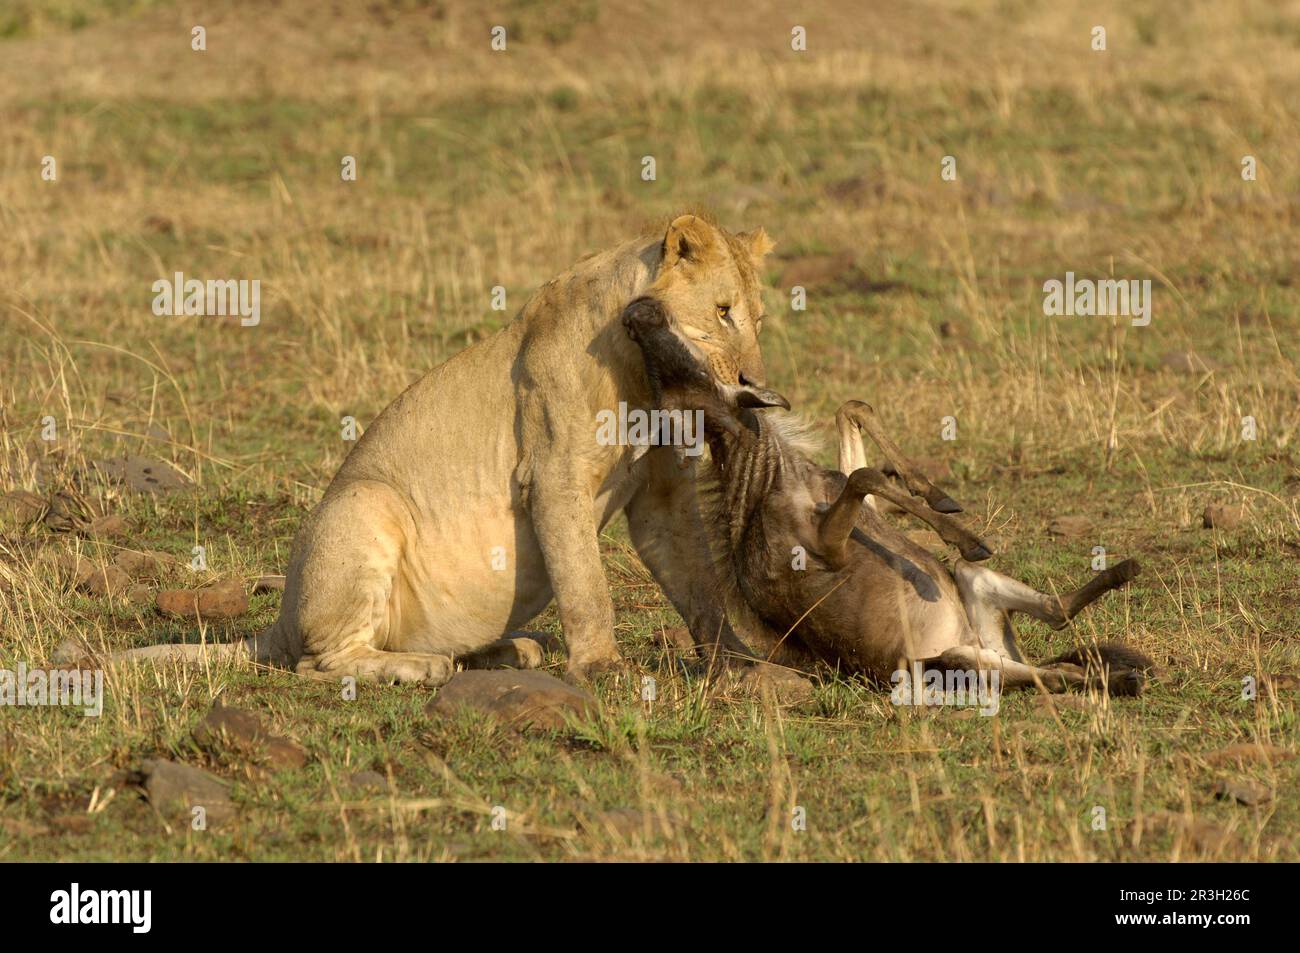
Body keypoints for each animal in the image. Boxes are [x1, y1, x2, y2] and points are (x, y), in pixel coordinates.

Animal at [119, 214, 777, 684]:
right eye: (722, 312)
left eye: (759, 319)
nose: (754, 385)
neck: (644, 373)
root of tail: (277, 623)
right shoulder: (553, 475)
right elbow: (585, 583)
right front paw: (601, 668)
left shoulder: (663, 496)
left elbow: (699, 580)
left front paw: (738, 663)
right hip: (366, 504)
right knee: (318, 663)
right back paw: (423, 668)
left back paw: (506, 651)